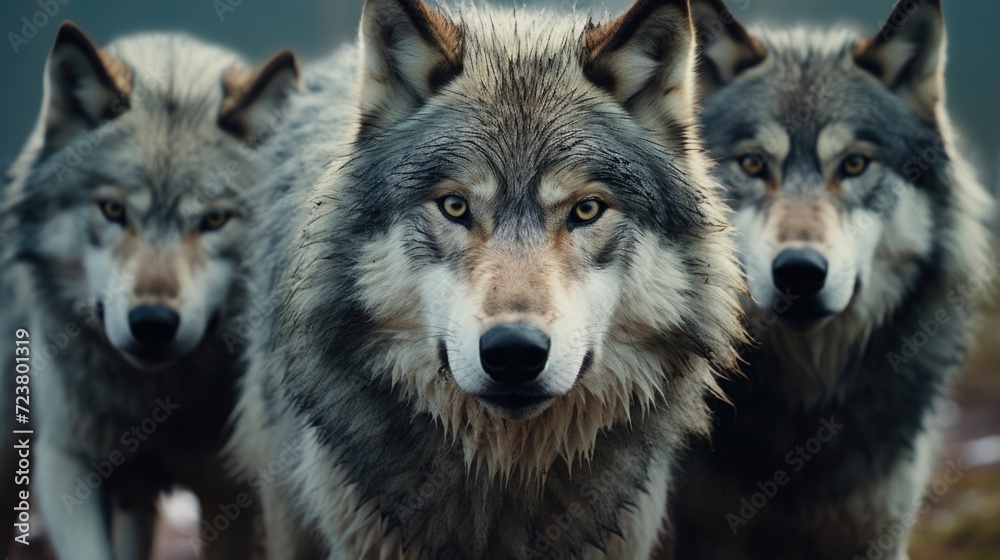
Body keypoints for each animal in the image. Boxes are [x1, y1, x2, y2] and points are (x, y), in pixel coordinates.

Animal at [0, 22, 299, 559]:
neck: (152, 401)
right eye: (114, 211)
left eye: (214, 220)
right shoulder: (64, 462)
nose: (153, 325)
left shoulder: (228, 488)